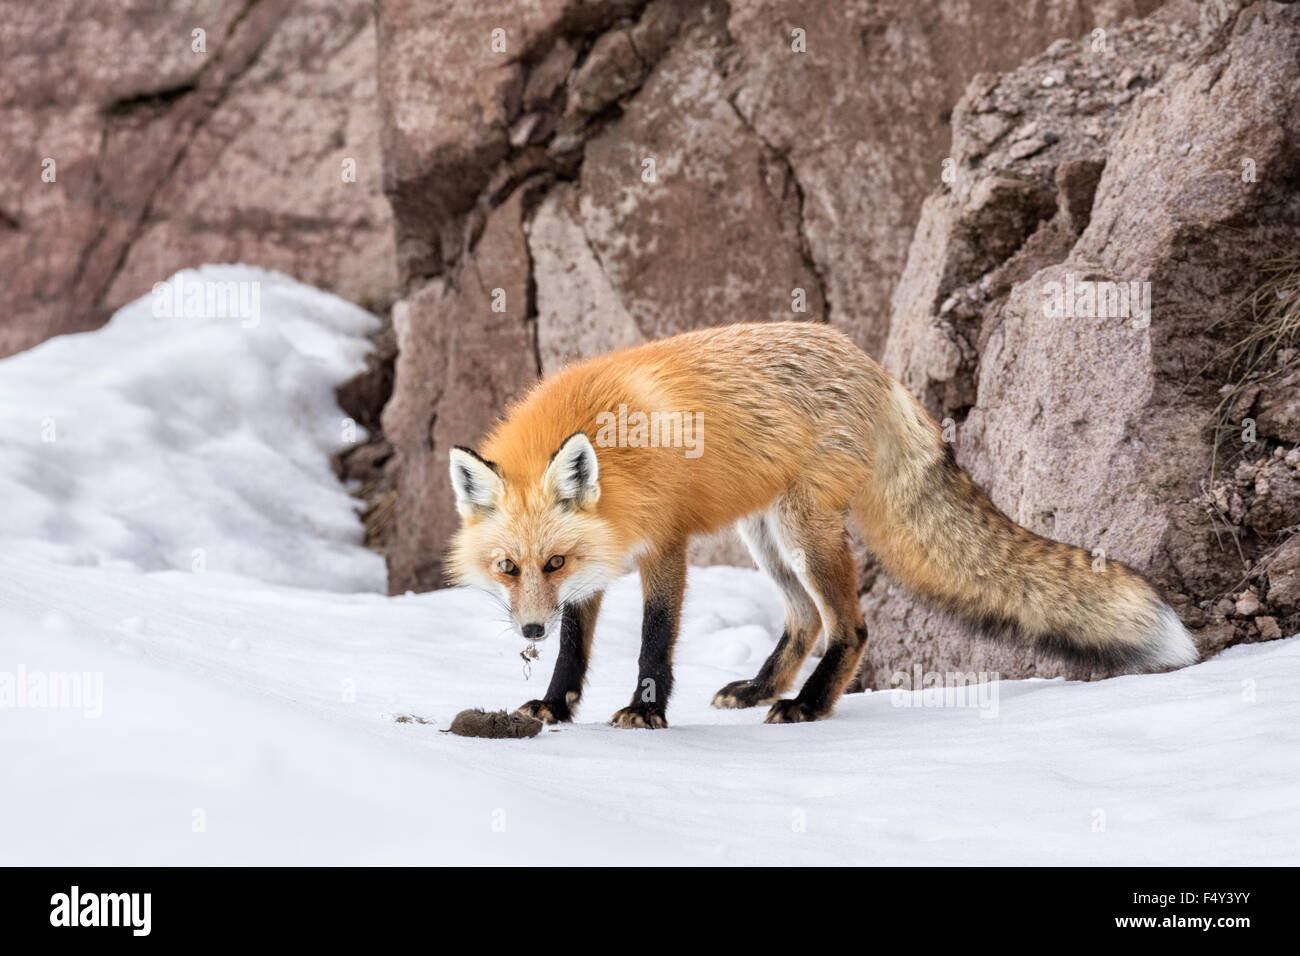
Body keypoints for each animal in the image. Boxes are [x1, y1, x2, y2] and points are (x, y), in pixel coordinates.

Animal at [446, 322, 1199, 728]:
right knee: (805, 620)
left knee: (851, 628)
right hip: (765, 534)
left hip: (804, 528)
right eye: (509, 568)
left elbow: (654, 641)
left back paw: (807, 705)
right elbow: (575, 650)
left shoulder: (663, 544)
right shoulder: (602, 559)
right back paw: (762, 689)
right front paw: (553, 707)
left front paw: (646, 711)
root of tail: (871, 364)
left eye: (553, 562)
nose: (529, 630)